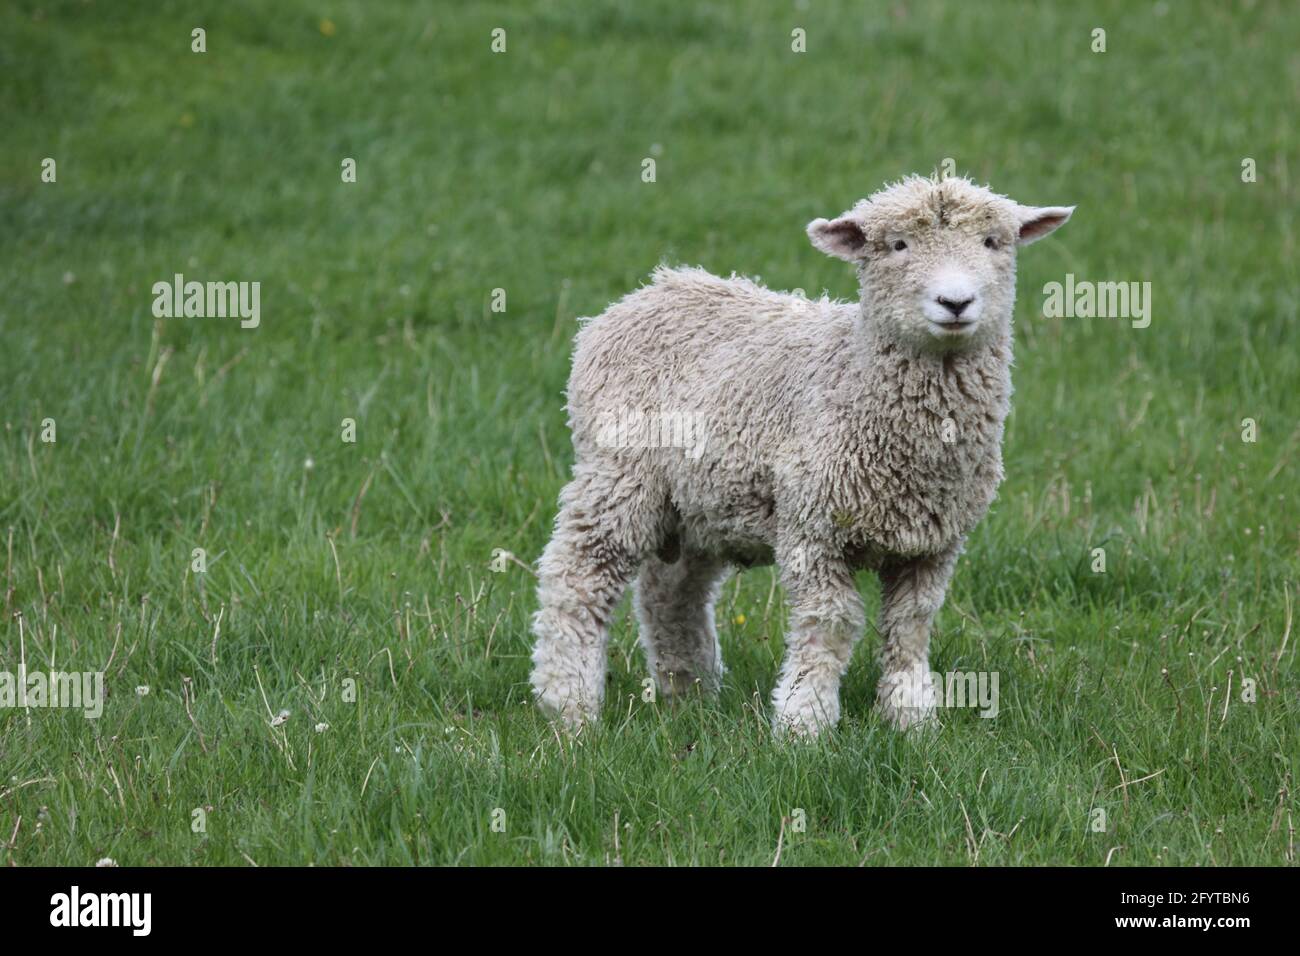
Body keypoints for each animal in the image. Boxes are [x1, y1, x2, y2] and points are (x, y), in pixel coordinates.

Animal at [529, 173, 1073, 735]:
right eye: (898, 246)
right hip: (617, 475)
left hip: (697, 503)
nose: (956, 302)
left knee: (671, 590)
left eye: (992, 242)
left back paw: (690, 693)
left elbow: (911, 624)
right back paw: (568, 705)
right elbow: (832, 621)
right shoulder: (812, 527)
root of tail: (650, 290)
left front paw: (911, 719)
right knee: (576, 577)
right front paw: (804, 723)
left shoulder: (933, 543)